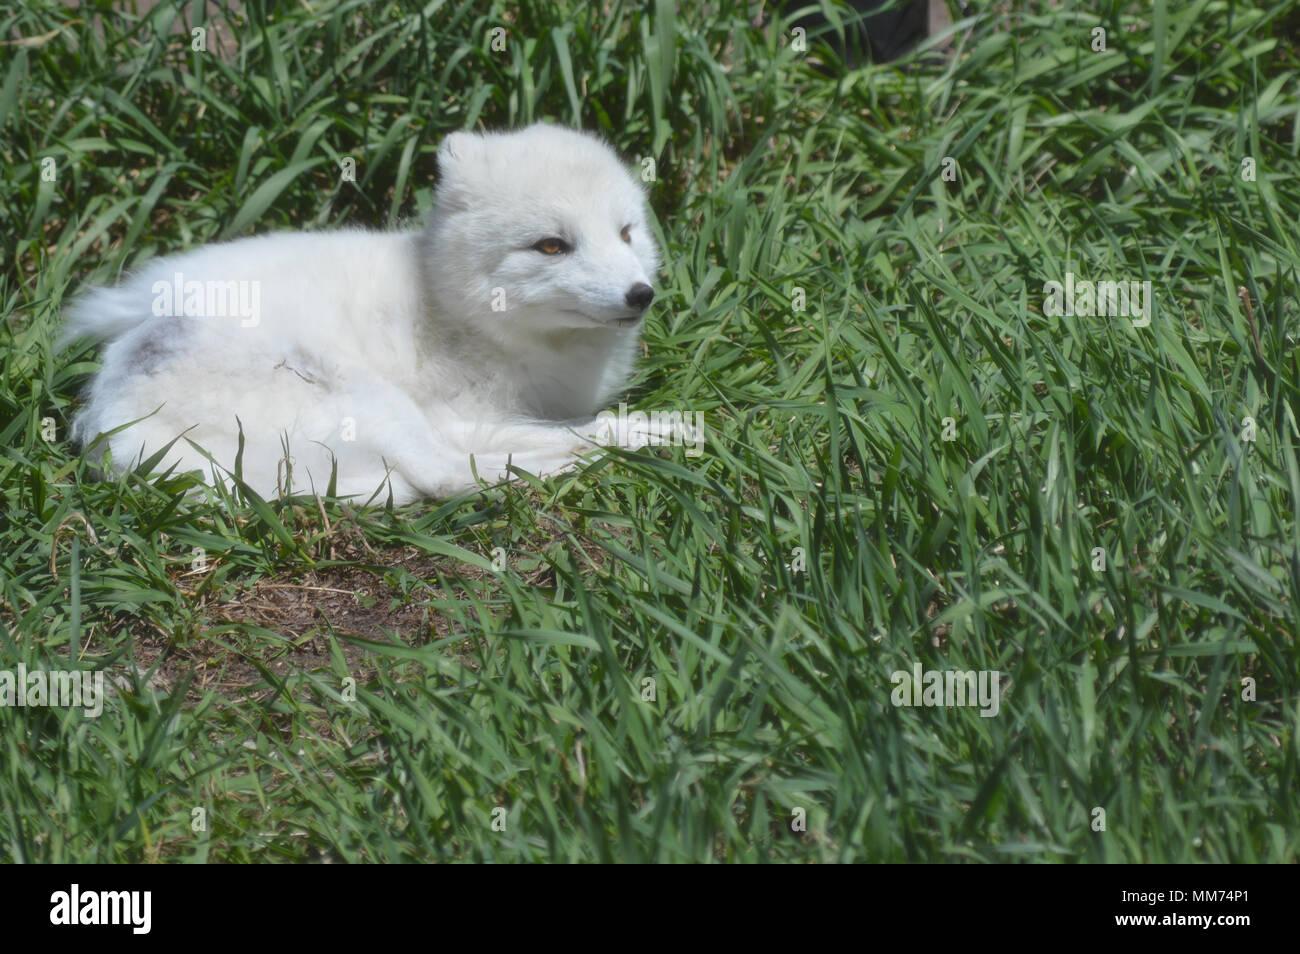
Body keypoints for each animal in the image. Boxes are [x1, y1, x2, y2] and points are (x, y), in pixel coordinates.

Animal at [62, 124, 662, 505]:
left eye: (626, 233)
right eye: (552, 246)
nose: (642, 295)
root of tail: (111, 422)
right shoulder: (462, 413)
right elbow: (585, 426)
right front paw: (657, 428)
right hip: (366, 392)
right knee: (448, 477)